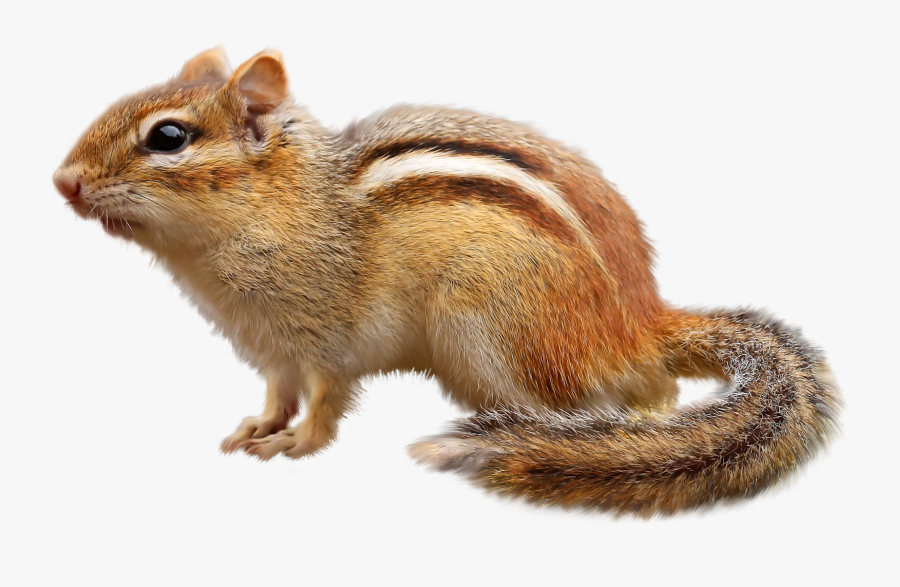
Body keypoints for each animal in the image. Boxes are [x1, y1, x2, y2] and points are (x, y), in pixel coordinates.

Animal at [53, 47, 840, 517]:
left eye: (168, 136)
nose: (63, 181)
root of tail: (640, 324)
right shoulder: (272, 350)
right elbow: (276, 393)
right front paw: (257, 427)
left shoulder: (327, 340)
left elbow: (324, 402)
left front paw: (295, 445)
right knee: (660, 392)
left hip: (491, 334)